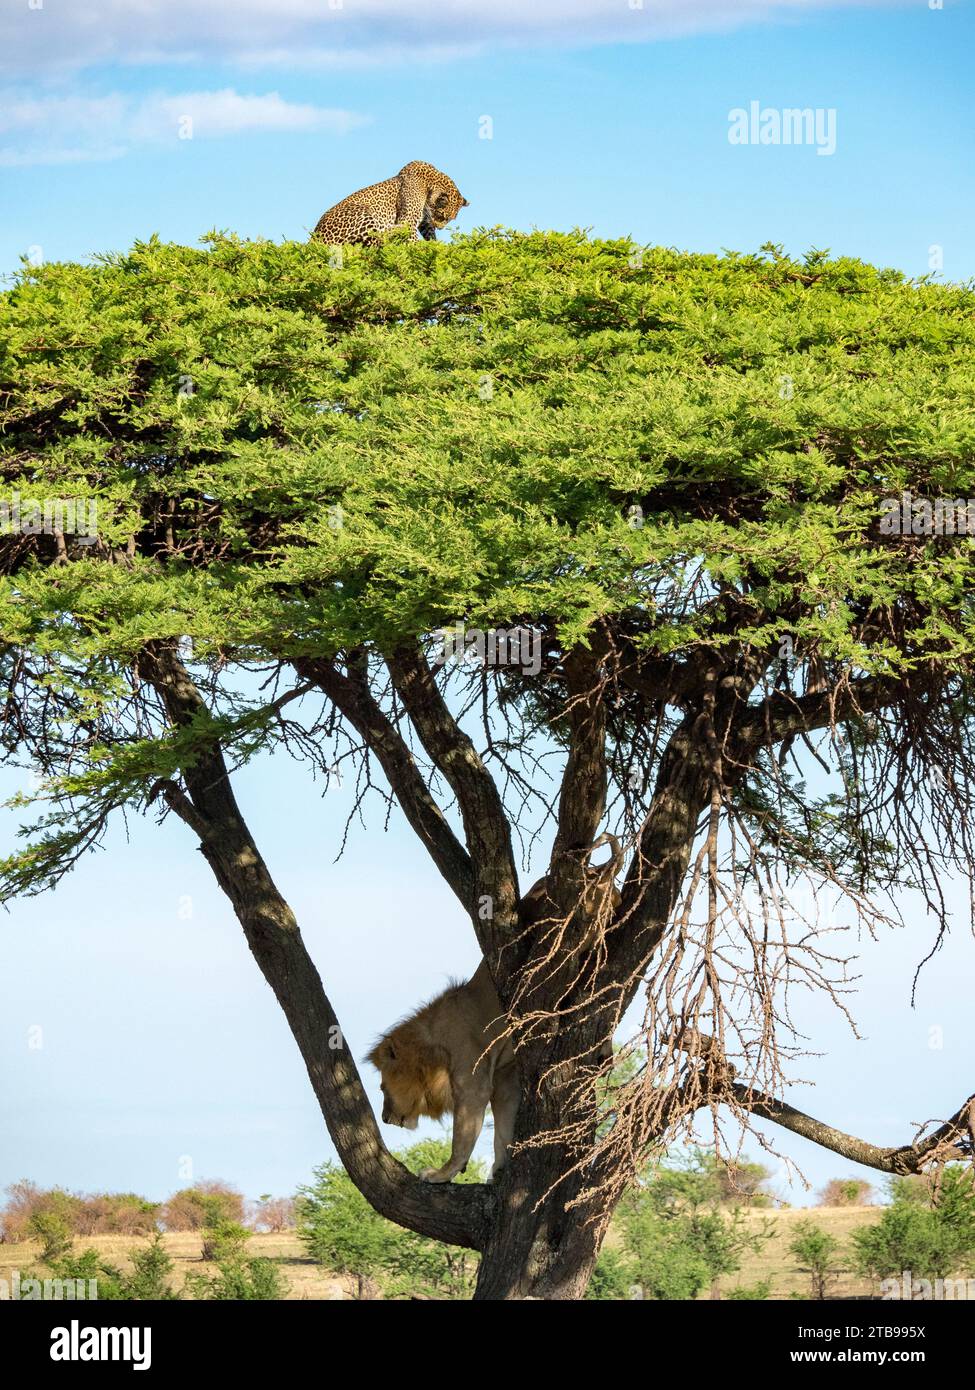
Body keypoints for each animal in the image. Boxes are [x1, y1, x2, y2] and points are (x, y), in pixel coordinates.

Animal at [311, 159, 468, 245]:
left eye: (450, 220)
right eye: (442, 216)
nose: (440, 228)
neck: (429, 184)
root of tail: (315, 237)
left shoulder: (424, 218)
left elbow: (428, 232)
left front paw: (435, 245)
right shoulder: (409, 219)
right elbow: (412, 238)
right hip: (363, 212)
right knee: (377, 239)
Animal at [367, 959, 518, 1184]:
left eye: (383, 1089)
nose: (384, 1118)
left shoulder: (472, 1088)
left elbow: (460, 1141)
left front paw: (441, 1174)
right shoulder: (505, 1079)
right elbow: (502, 1132)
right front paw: (498, 1170)